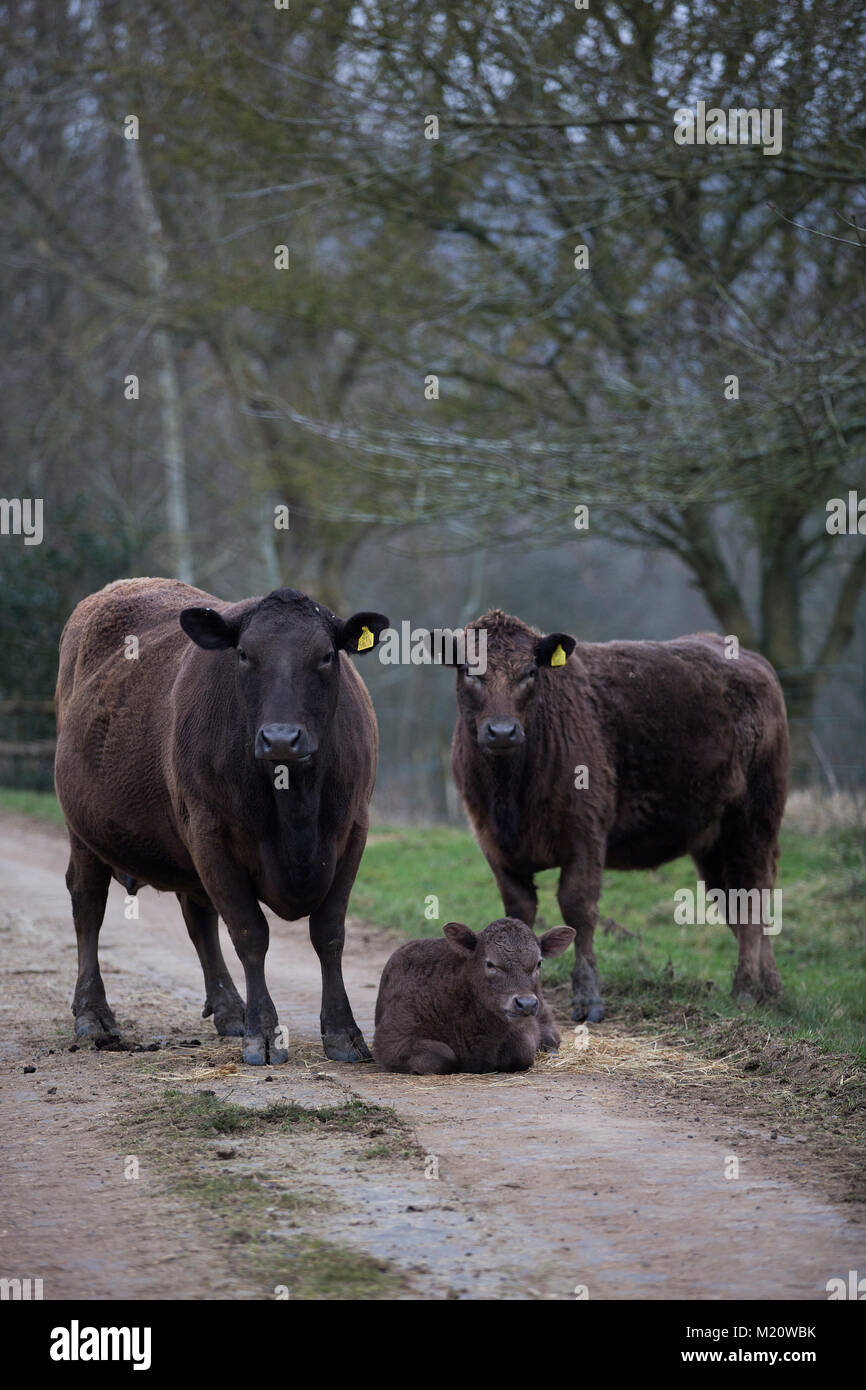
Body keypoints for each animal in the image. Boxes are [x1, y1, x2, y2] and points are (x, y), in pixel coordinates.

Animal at [54, 577, 389, 1065]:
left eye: (327, 654)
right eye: (245, 654)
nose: (281, 738)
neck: (295, 808)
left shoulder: (352, 832)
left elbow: (328, 933)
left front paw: (344, 1033)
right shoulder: (211, 834)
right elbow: (250, 933)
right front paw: (262, 1033)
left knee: (198, 916)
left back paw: (230, 1009)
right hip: (85, 830)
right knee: (88, 904)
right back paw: (94, 1015)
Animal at [373, 917, 575, 1074]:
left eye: (539, 963)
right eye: (490, 963)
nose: (526, 1003)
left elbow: (522, 1052)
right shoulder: (391, 1039)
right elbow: (441, 1055)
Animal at [449, 611, 790, 1023]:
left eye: (530, 671)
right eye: (469, 670)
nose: (502, 731)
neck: (510, 793)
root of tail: (755, 662)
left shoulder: (586, 833)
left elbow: (578, 908)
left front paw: (588, 998)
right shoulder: (493, 843)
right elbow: (519, 912)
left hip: (754, 820)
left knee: (752, 892)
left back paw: (746, 987)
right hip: (714, 841)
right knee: (737, 899)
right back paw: (770, 989)